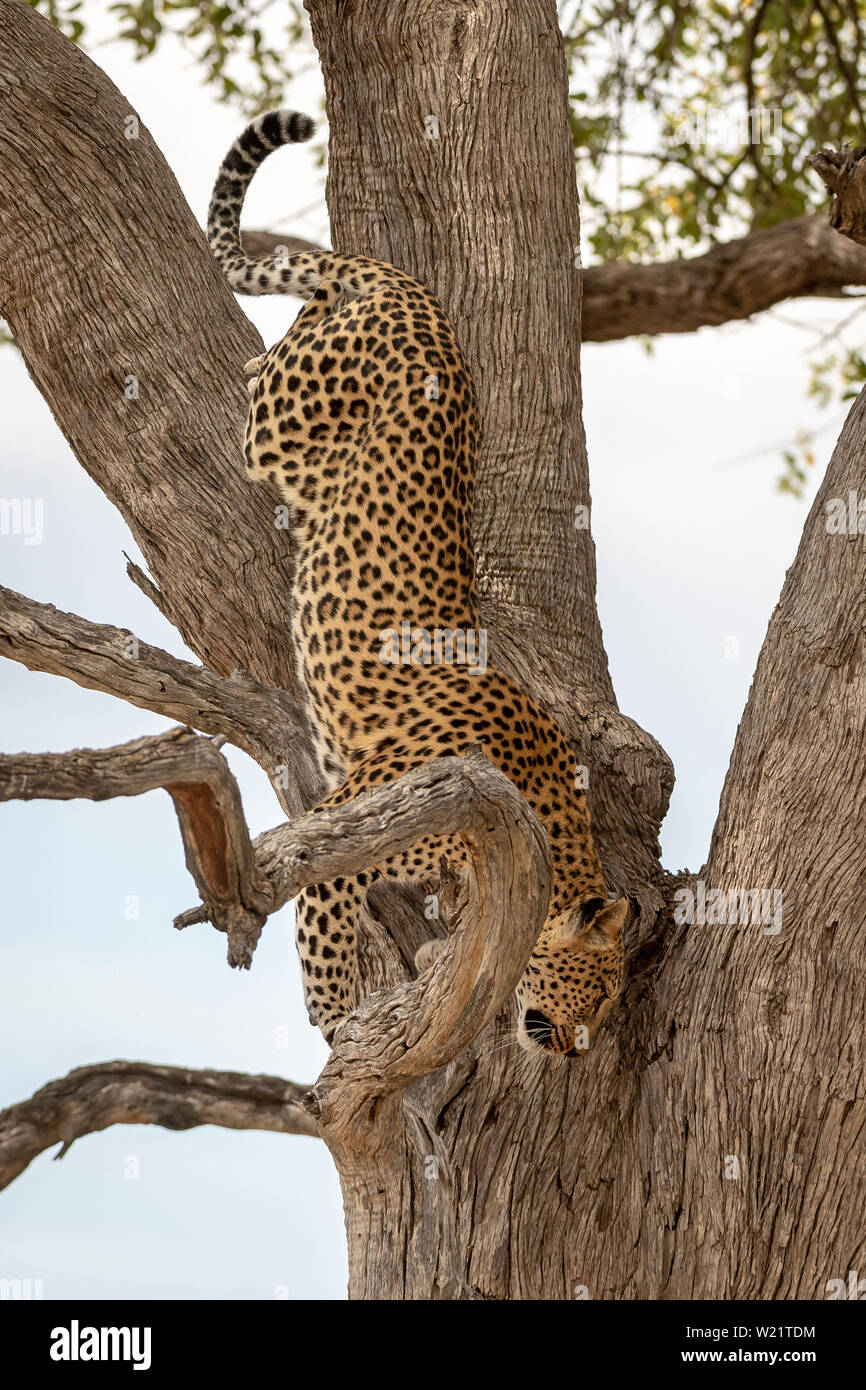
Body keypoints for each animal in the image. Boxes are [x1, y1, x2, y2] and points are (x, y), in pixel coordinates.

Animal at [207, 109, 627, 1056]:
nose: (577, 1052)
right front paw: (335, 1020)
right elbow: (321, 913)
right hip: (286, 427)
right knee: (265, 394)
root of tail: (421, 296)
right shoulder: (349, 818)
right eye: (598, 989)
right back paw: (254, 364)